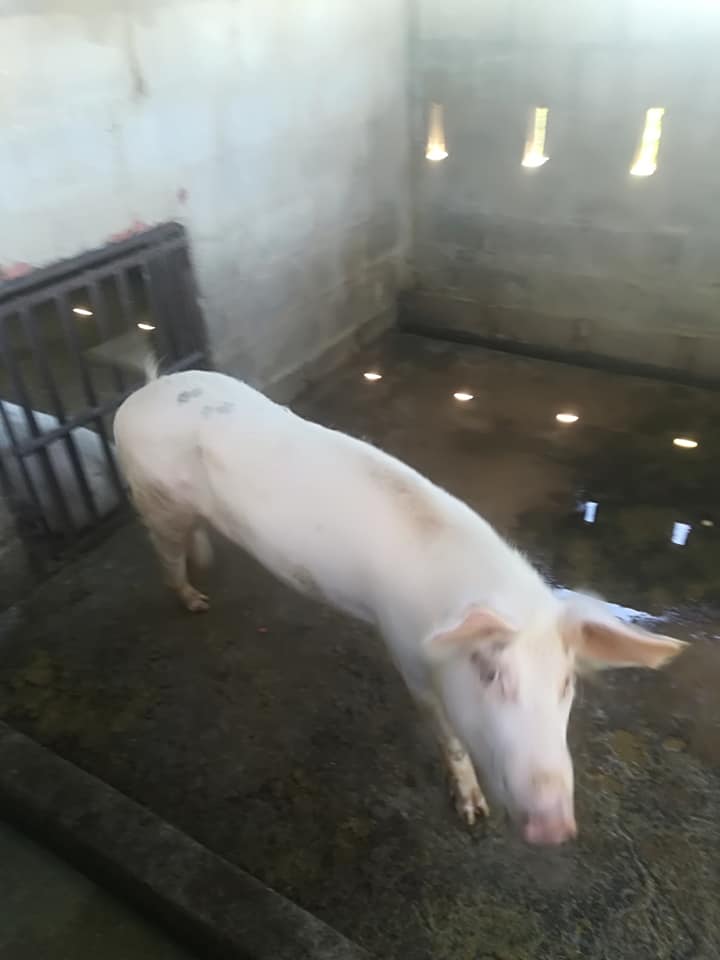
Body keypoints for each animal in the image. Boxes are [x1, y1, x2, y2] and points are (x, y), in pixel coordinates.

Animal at [113, 368, 687, 845]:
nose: (554, 830)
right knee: (164, 554)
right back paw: (197, 602)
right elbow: (446, 735)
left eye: (566, 683)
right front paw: (472, 814)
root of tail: (136, 399)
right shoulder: (408, 655)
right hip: (156, 499)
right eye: (490, 673)